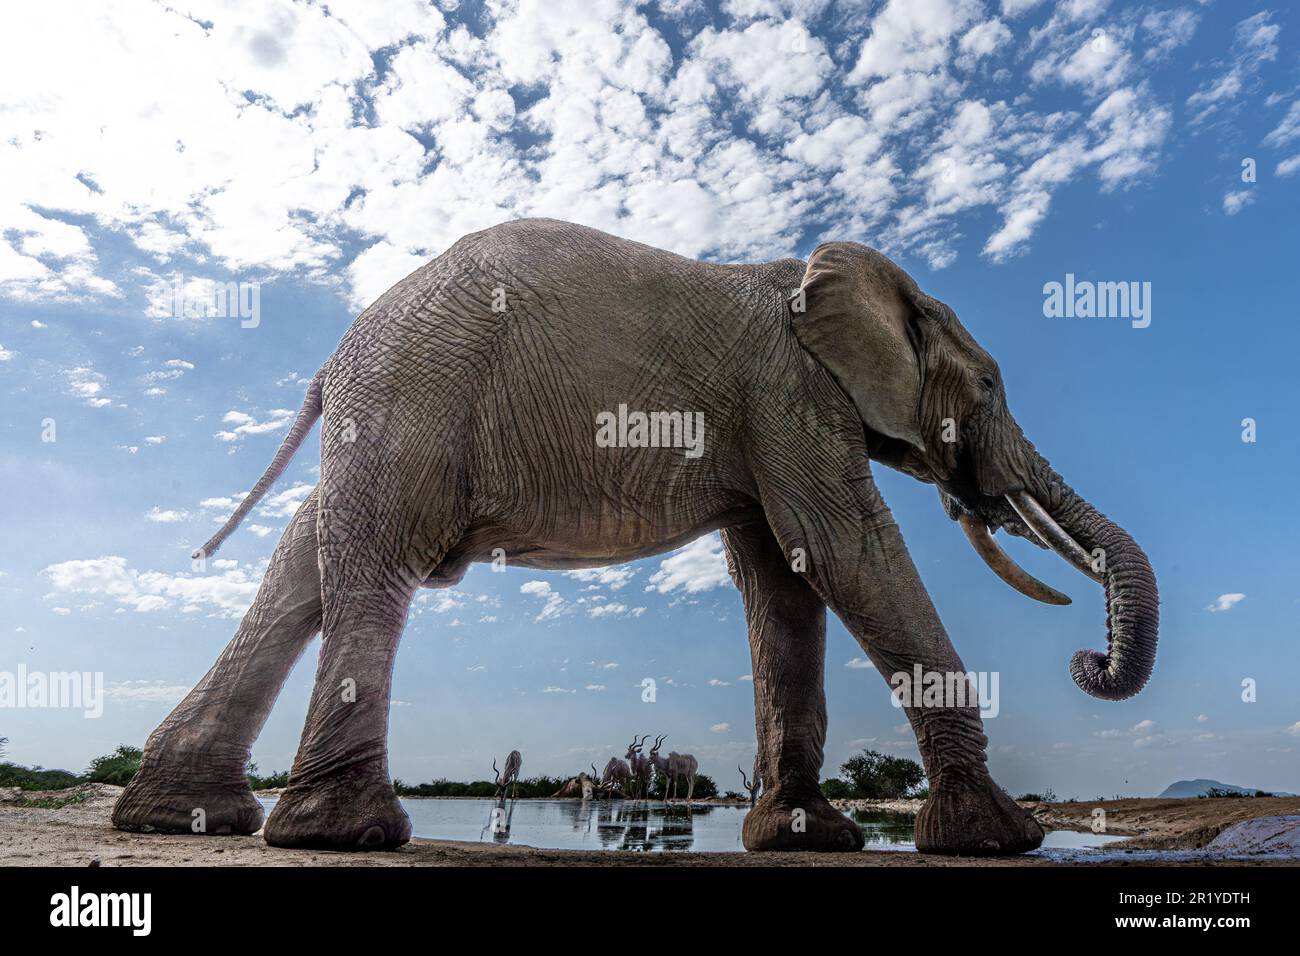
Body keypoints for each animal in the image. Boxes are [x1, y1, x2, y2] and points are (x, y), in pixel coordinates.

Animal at [111, 218, 1158, 854]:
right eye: (987, 386)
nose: (1085, 657)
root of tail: (329, 363)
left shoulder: (768, 418)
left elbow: (786, 579)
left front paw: (806, 839)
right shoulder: (788, 392)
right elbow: (846, 548)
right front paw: (997, 838)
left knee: (307, 554)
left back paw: (182, 816)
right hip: (414, 397)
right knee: (379, 557)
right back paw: (345, 833)